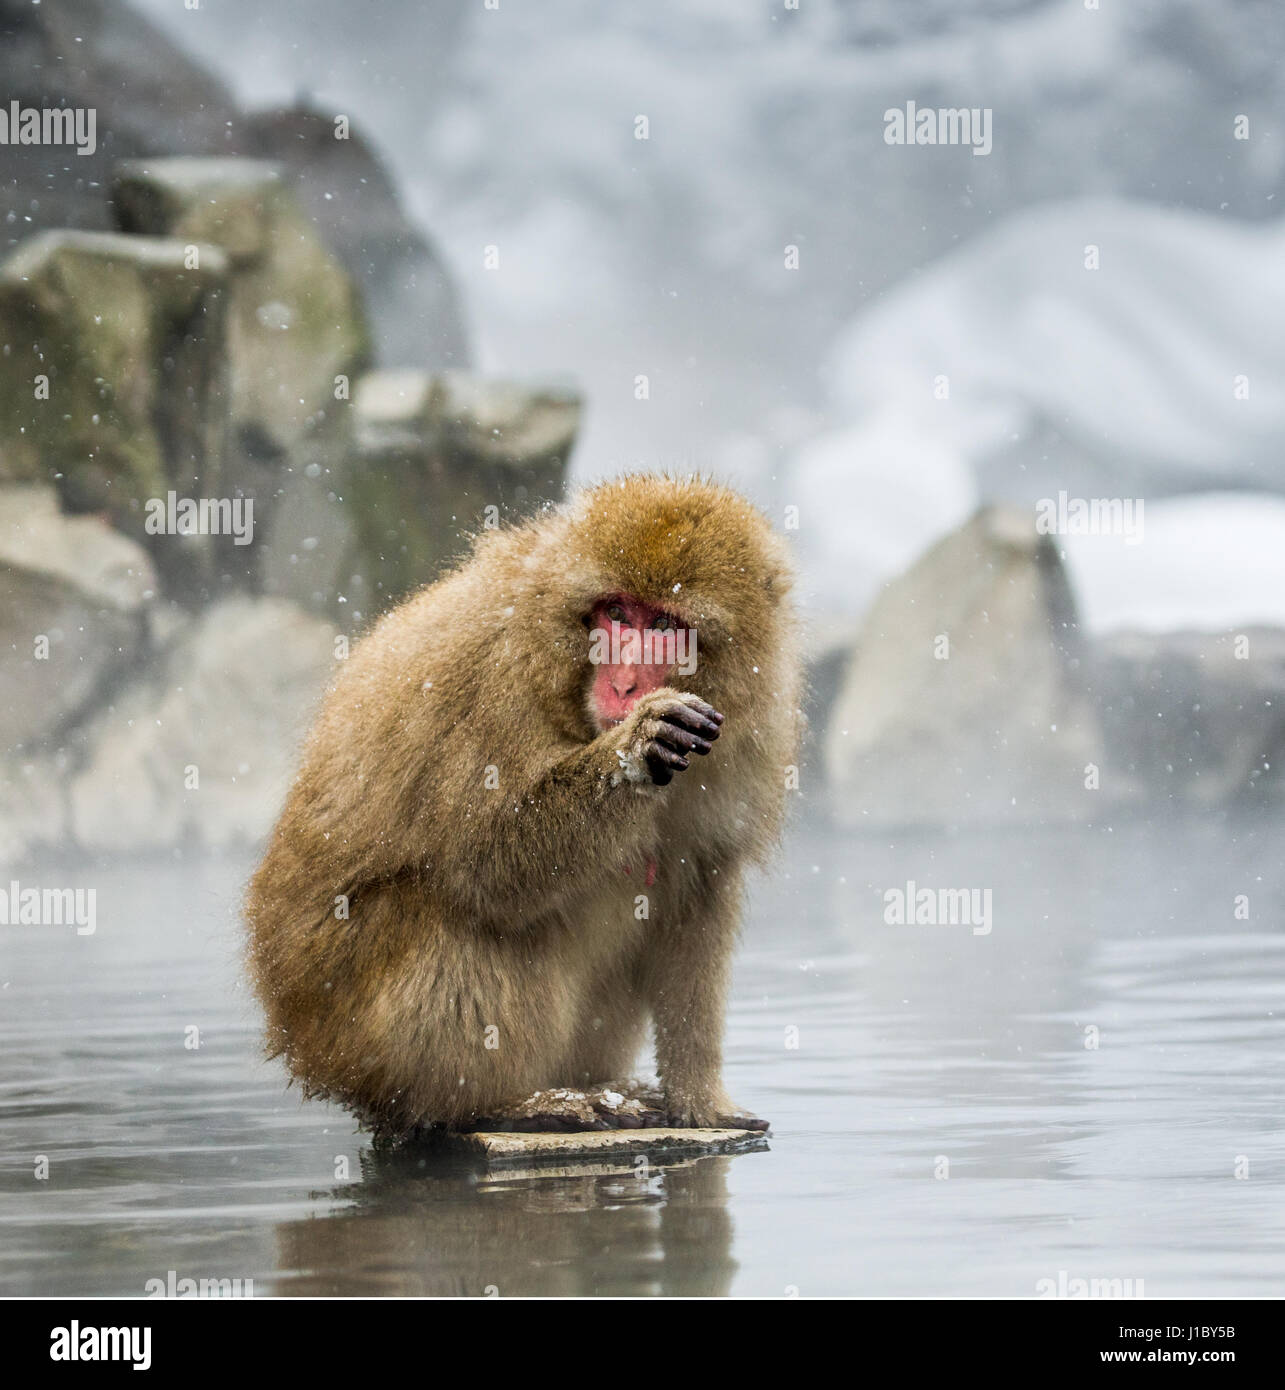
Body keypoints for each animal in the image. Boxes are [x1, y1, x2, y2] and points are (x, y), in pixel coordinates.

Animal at [245, 473, 802, 1139]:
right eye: (617, 614)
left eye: (665, 625)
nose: (624, 686)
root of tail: (300, 1042)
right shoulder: (495, 680)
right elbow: (486, 862)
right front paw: (636, 749)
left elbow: (699, 896)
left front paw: (699, 1098)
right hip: (353, 1029)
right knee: (464, 915)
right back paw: (494, 1104)